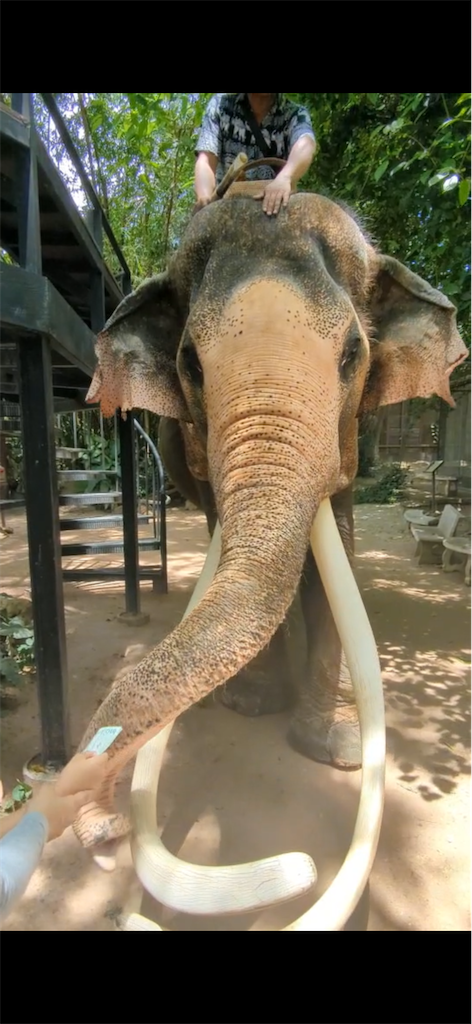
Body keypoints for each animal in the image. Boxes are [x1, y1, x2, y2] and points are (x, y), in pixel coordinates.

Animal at [74, 181, 466, 851]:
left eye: (353, 353)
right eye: (190, 362)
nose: (106, 826)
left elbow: (338, 558)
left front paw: (335, 749)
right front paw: (254, 703)